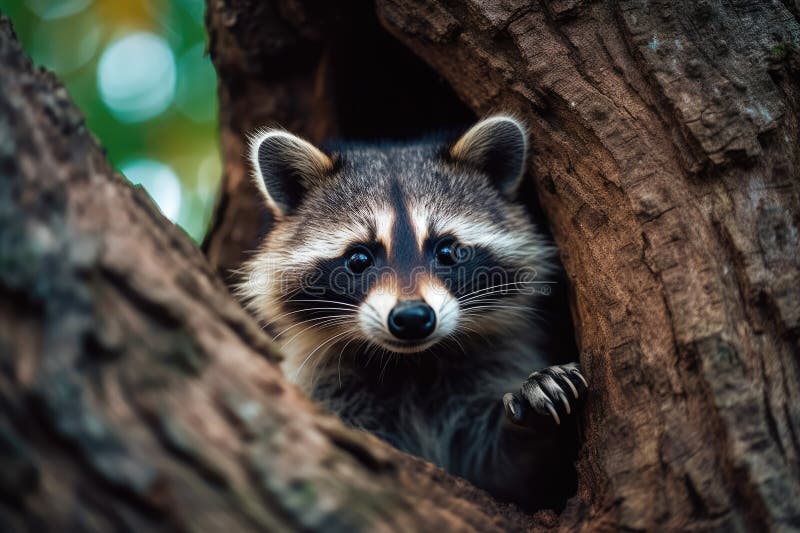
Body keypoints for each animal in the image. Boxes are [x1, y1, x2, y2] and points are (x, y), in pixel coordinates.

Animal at [239, 116, 587, 510]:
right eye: (358, 258)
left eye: (448, 251)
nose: (412, 318)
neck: (412, 362)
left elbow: (518, 473)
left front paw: (532, 410)